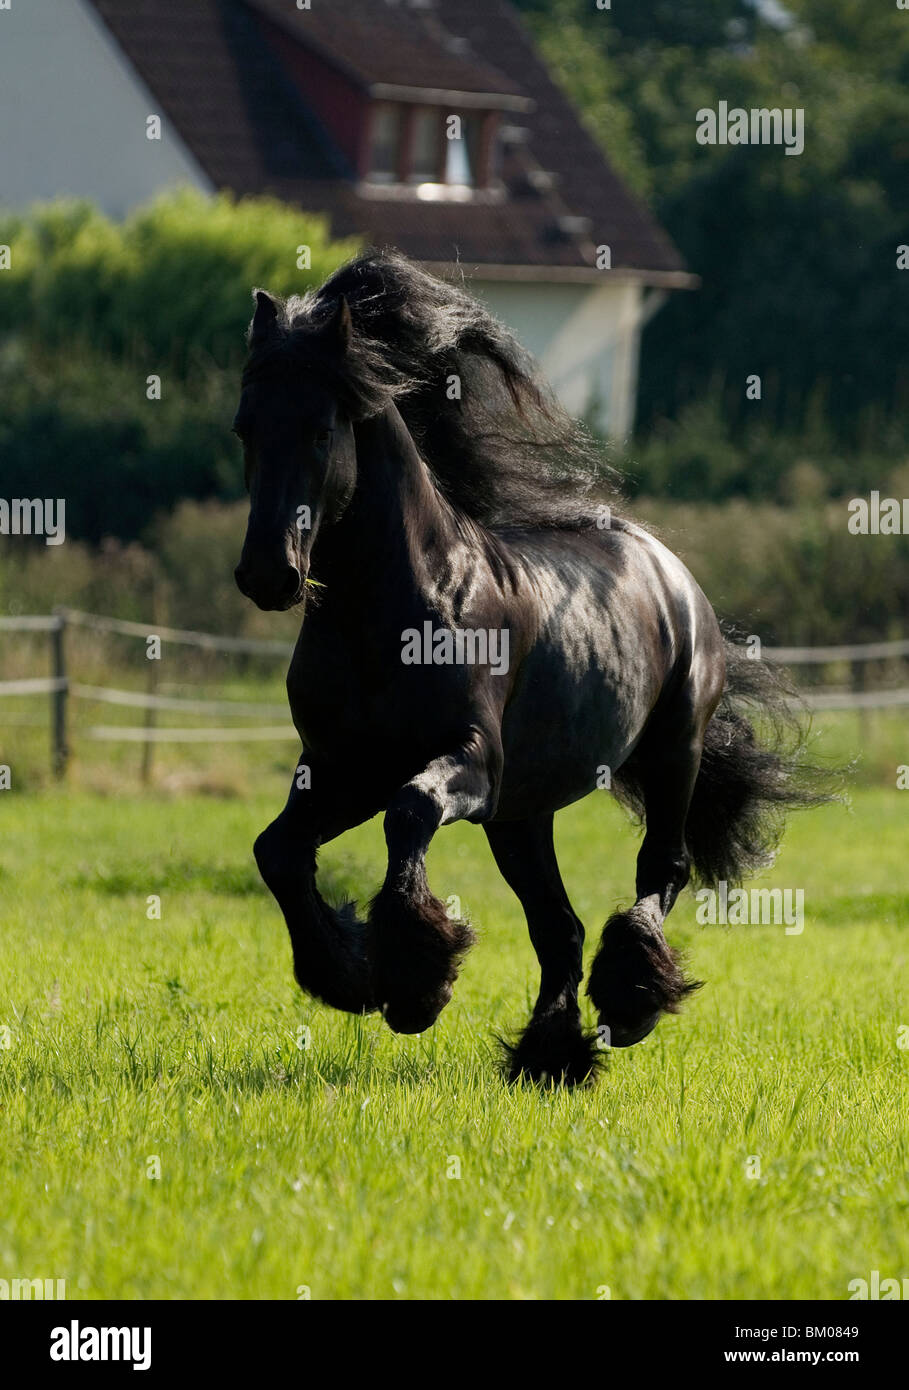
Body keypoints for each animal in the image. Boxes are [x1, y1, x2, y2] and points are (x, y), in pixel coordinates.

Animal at [233, 250, 827, 1085]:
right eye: (244, 426)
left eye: (322, 430)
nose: (268, 573)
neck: (394, 605)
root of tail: (669, 569)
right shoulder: (340, 768)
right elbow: (278, 851)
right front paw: (351, 975)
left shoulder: (469, 766)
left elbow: (408, 813)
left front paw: (416, 984)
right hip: (524, 814)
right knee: (559, 927)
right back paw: (553, 1054)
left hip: (667, 753)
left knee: (662, 869)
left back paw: (629, 1001)